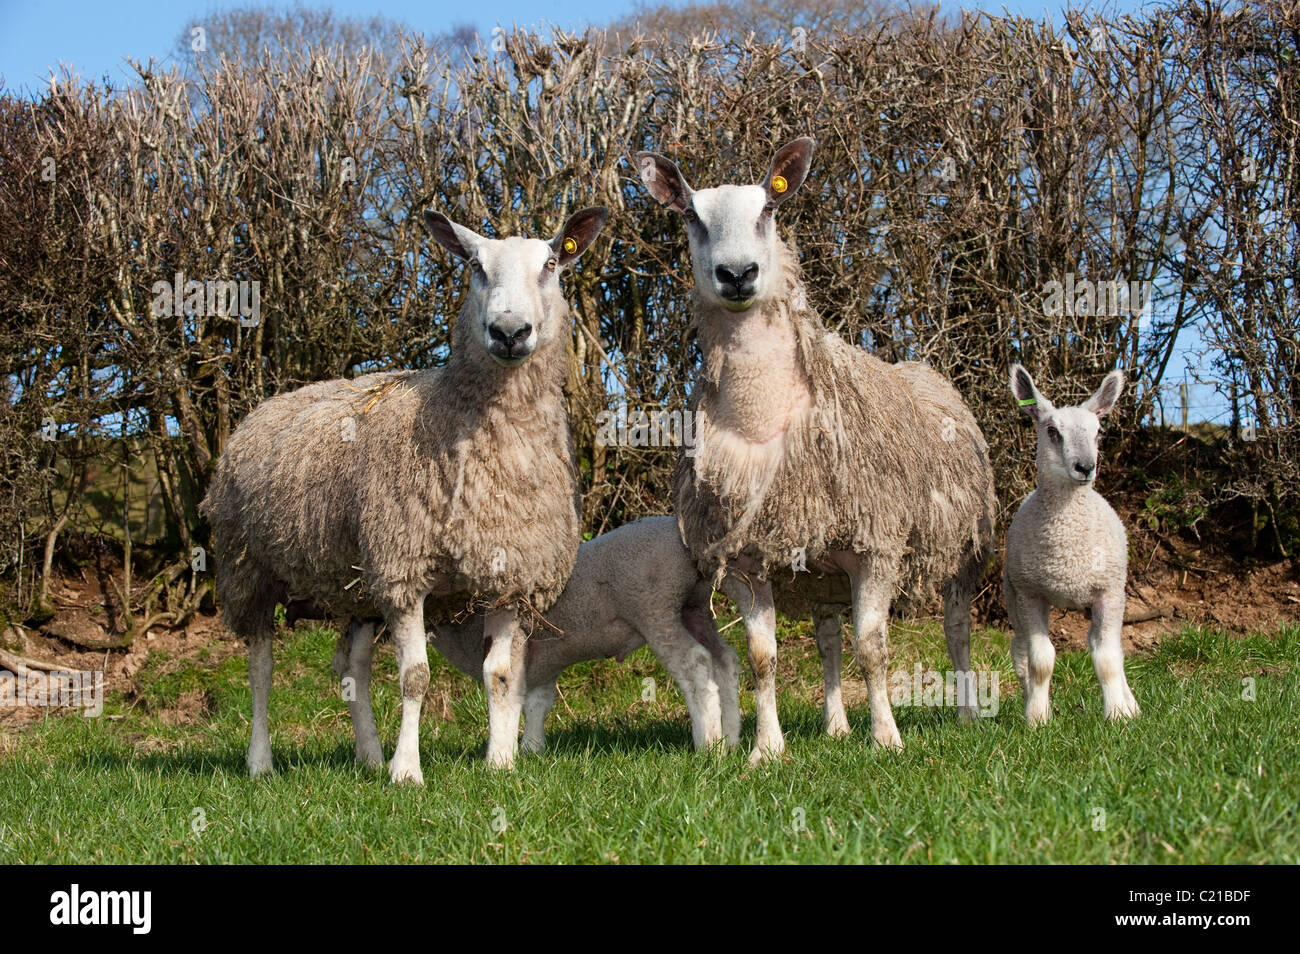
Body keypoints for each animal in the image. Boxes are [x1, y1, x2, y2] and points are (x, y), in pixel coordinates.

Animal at [199, 206, 609, 783]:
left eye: (551, 264)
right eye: (475, 266)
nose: (509, 331)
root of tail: (267, 405)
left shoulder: (510, 574)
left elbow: (502, 675)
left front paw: (499, 763)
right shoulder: (404, 570)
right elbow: (415, 676)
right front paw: (408, 771)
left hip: (356, 584)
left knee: (353, 666)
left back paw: (368, 755)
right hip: (250, 568)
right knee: (261, 667)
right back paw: (262, 762)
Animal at [332, 515, 742, 755]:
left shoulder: (519, 644)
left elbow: (511, 693)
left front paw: (506, 754)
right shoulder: (546, 656)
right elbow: (537, 701)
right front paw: (532, 750)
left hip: (656, 608)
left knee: (696, 664)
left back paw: (709, 744)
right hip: (695, 608)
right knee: (724, 660)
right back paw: (732, 740)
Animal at [636, 137, 997, 764]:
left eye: (768, 209)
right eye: (692, 216)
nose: (738, 274)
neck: (761, 420)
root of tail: (926, 371)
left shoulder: (878, 544)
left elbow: (873, 647)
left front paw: (888, 738)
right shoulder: (744, 557)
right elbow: (763, 658)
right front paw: (766, 750)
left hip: (962, 548)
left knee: (957, 629)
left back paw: (968, 713)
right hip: (820, 567)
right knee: (829, 638)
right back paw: (835, 726)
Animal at [1003, 364, 1140, 724]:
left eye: (1098, 432)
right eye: (1052, 431)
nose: (1085, 467)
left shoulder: (1108, 591)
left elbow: (1107, 659)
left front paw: (1118, 715)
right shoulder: (1031, 594)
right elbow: (1041, 660)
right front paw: (1037, 718)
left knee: (1106, 647)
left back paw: (1131, 704)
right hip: (1012, 595)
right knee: (1020, 650)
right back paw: (1028, 698)